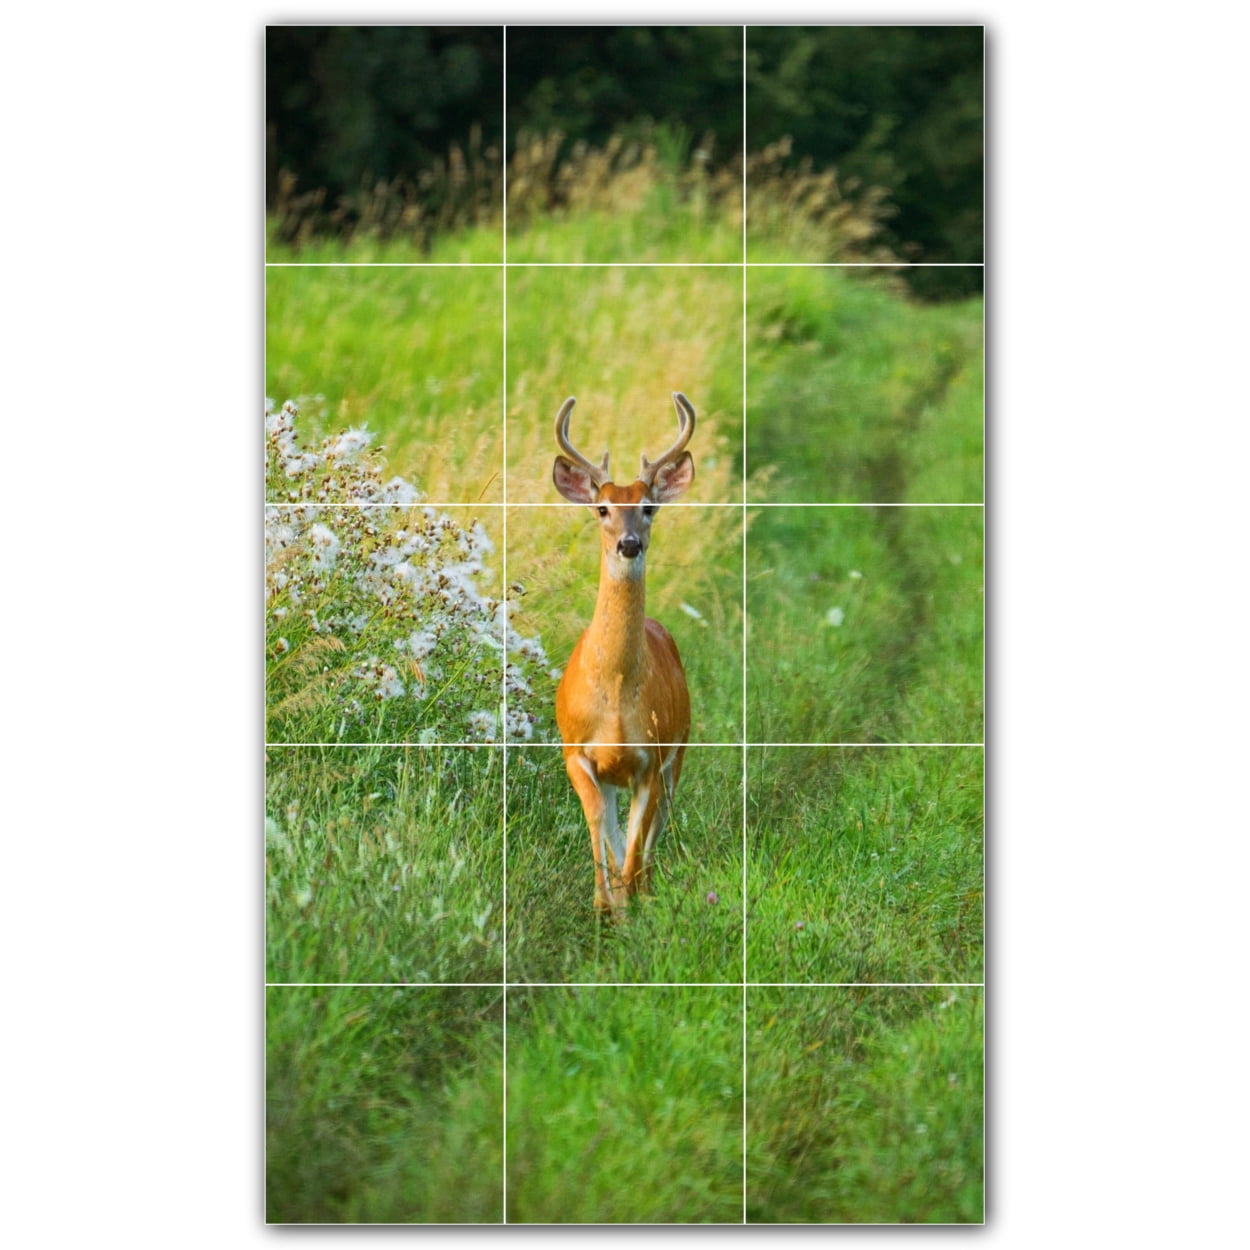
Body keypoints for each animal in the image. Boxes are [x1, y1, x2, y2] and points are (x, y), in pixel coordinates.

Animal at [551, 392, 696, 914]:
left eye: (648, 506)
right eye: (602, 508)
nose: (629, 543)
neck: (615, 692)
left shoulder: (650, 758)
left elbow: (635, 842)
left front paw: (631, 905)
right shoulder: (576, 752)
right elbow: (602, 830)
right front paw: (604, 906)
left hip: (680, 749)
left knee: (656, 828)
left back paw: (645, 891)